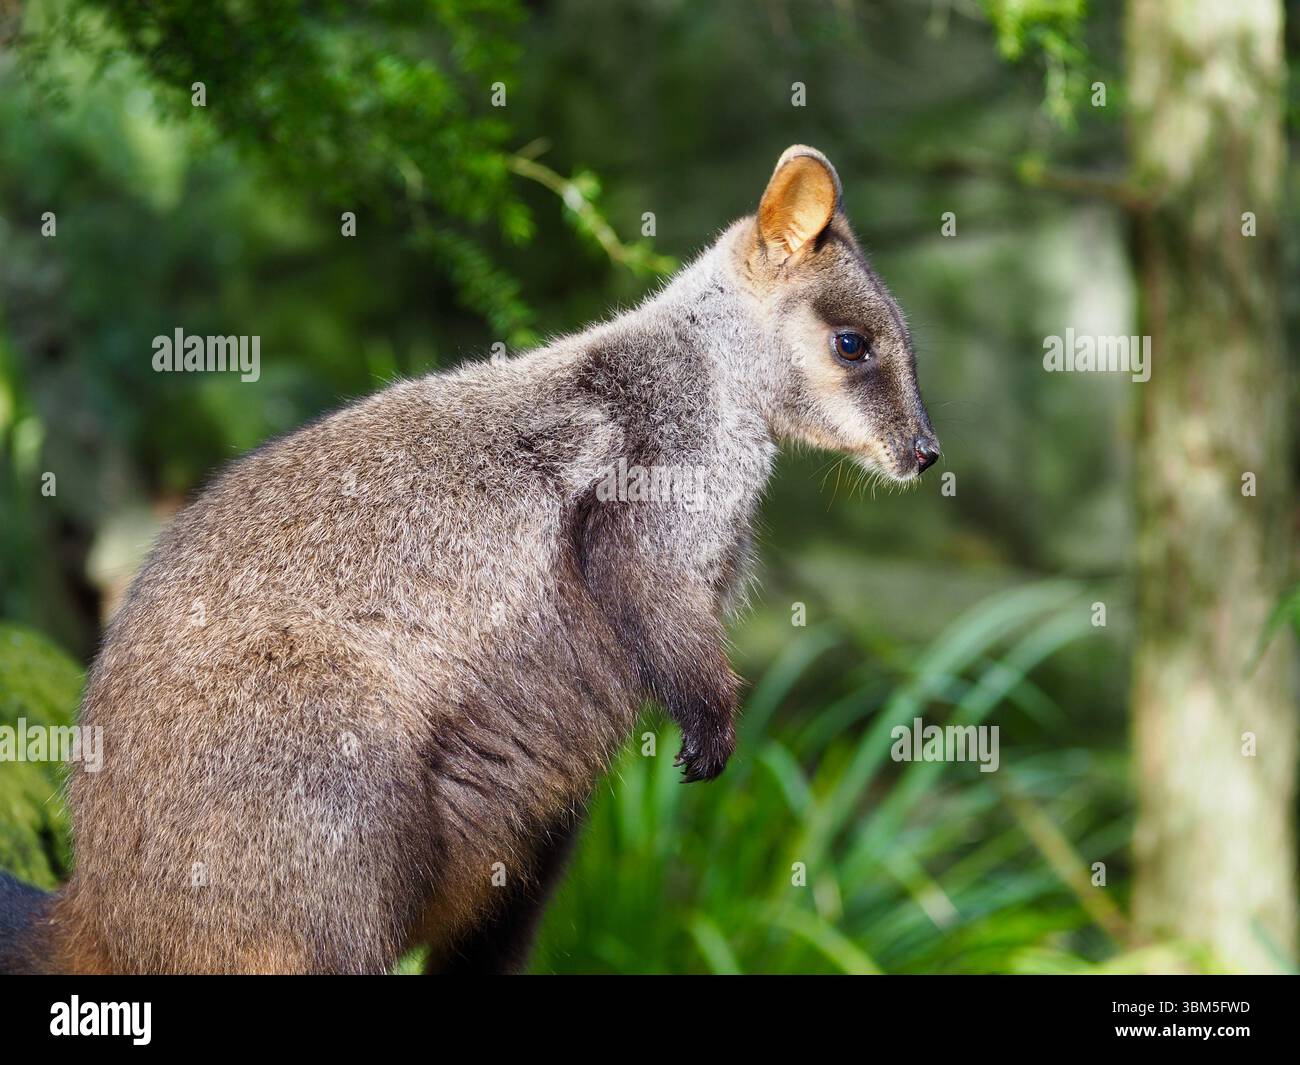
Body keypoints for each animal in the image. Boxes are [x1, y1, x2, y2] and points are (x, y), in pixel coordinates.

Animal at [0, 145, 939, 974]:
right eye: (853, 345)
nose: (927, 455)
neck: (710, 374)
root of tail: (101, 911)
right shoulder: (649, 505)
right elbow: (649, 594)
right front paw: (712, 738)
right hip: (321, 781)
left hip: (532, 832)